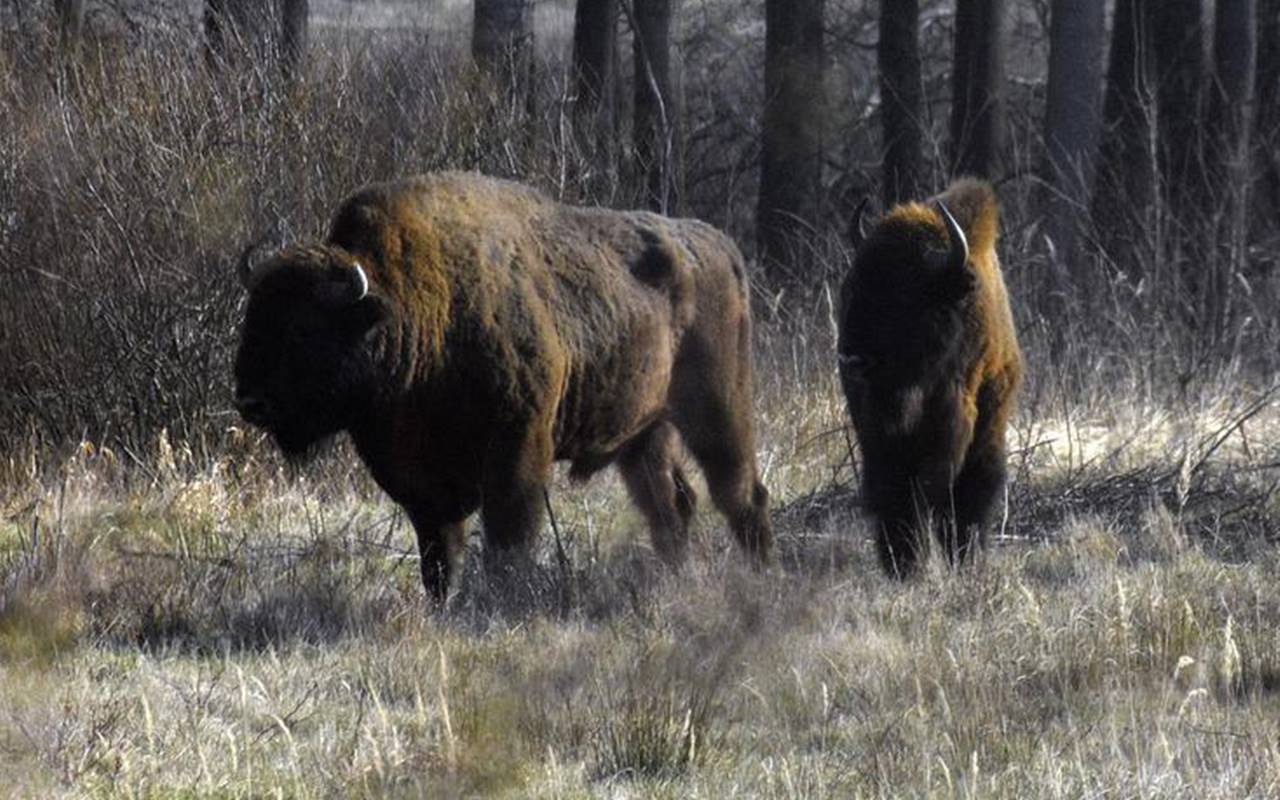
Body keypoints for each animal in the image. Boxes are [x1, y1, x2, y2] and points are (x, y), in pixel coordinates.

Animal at [234, 172, 771, 602]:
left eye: (303, 329)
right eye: (252, 316)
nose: (248, 400)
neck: (414, 307)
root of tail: (720, 246)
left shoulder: (516, 454)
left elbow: (508, 539)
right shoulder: (420, 487)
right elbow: (439, 555)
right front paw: (443, 606)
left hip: (718, 411)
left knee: (741, 494)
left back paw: (762, 576)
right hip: (644, 434)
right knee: (671, 504)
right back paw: (679, 578)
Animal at [838, 178, 1022, 577]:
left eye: (904, 295)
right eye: (852, 284)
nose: (851, 359)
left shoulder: (958, 425)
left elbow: (947, 493)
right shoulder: (877, 434)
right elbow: (894, 493)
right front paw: (903, 563)